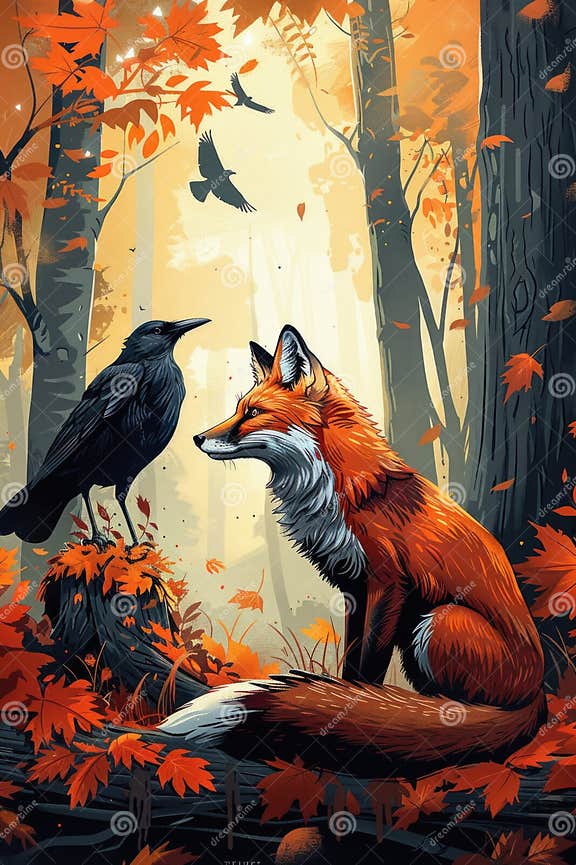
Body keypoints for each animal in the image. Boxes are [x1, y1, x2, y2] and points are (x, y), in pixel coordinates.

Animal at [160, 325, 546, 777]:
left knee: (465, 706)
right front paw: (346, 706)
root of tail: (537, 693)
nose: (197, 437)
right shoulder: (353, 587)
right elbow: (351, 662)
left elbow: (369, 667)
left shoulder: (388, 584)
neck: (338, 492)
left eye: (253, 412)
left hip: (437, 621)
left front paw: (360, 711)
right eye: (239, 409)